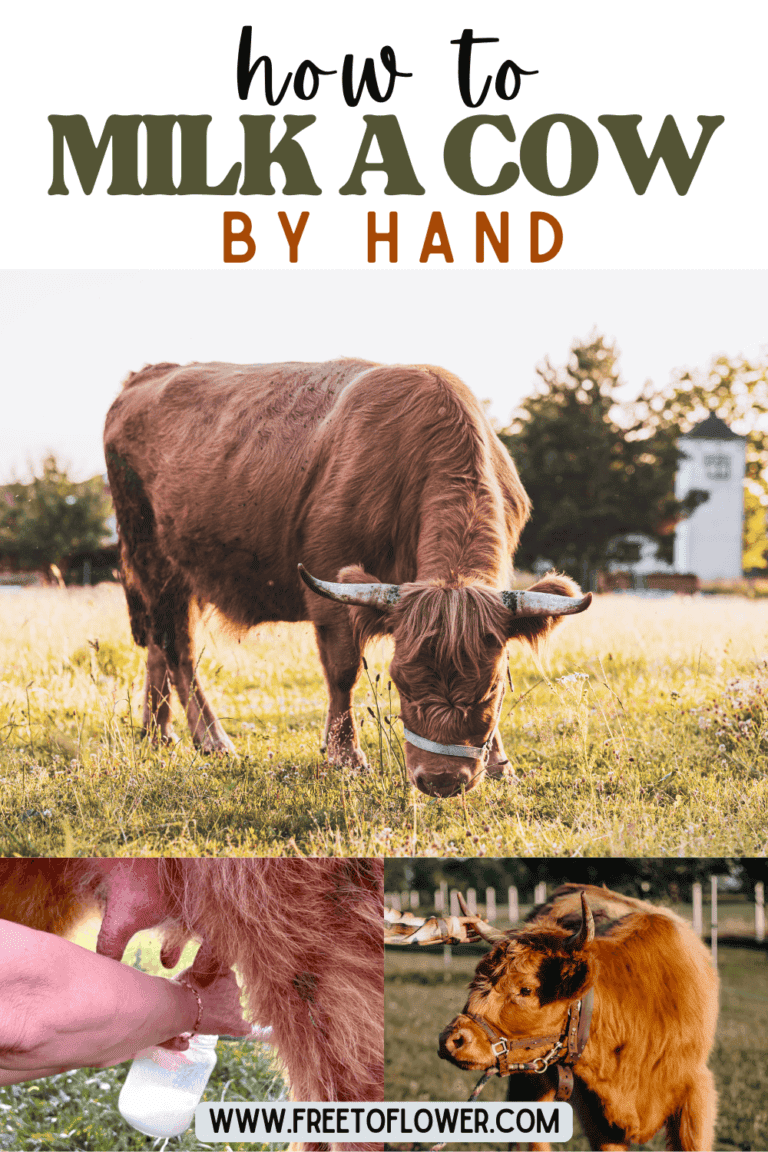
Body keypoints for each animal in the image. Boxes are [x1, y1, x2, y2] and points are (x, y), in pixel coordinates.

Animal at [104, 358, 591, 798]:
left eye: (489, 690)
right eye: (401, 681)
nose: (441, 780)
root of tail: (151, 373)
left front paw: (499, 765)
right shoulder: (330, 587)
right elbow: (342, 672)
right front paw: (346, 757)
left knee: (157, 645)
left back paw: (157, 732)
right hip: (152, 556)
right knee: (178, 650)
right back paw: (212, 740)